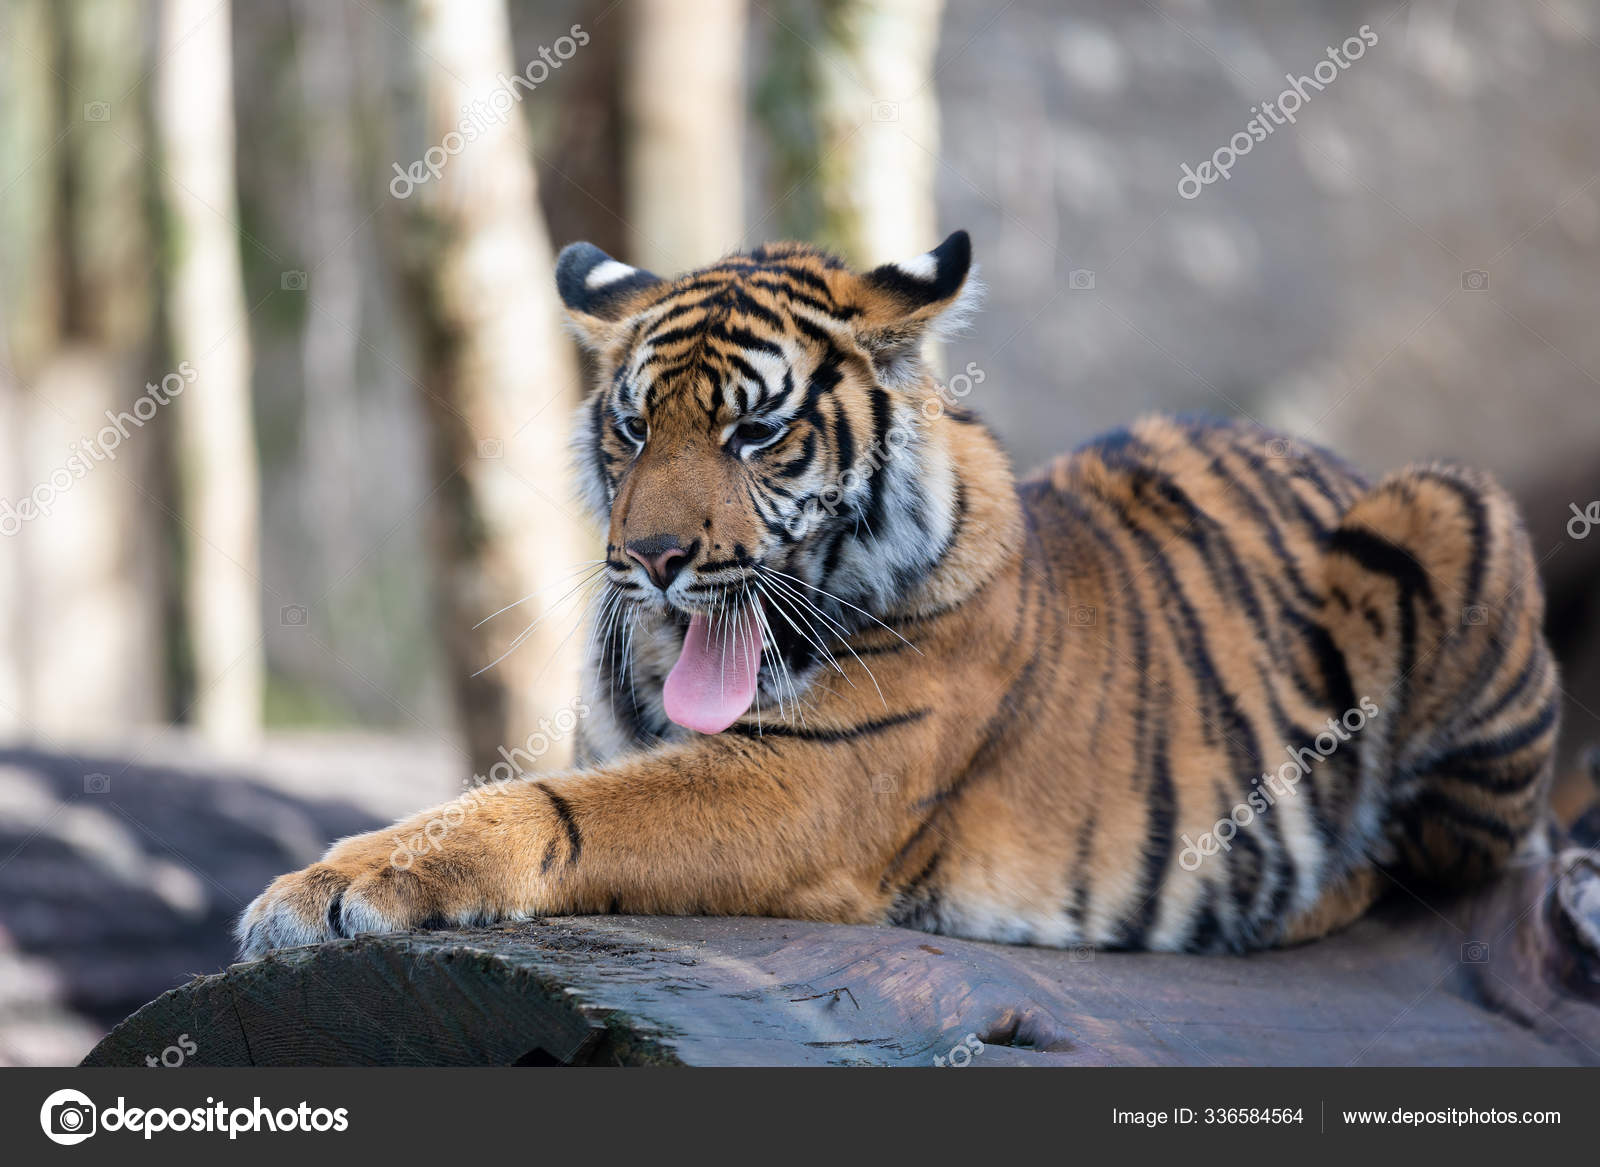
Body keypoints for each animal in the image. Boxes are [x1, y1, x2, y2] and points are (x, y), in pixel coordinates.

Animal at [239, 229, 1571, 959]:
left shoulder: (808, 782)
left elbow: (557, 809)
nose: (655, 556)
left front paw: (323, 891)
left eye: (755, 433)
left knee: (1441, 862)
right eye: (631, 429)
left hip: (1446, 503)